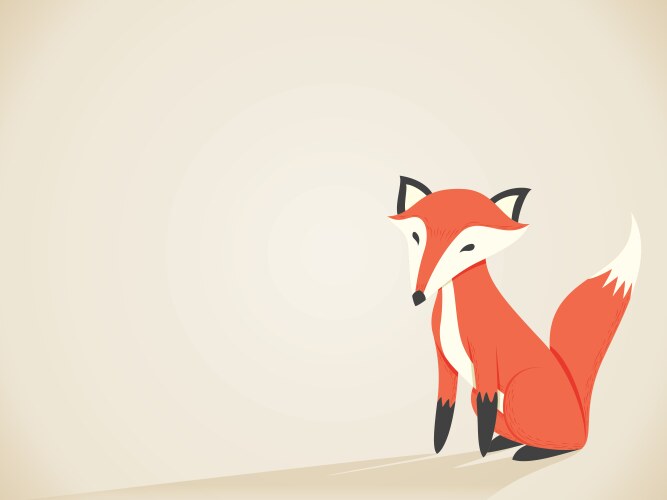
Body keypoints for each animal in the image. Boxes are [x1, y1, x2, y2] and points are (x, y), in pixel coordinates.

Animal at [390, 176, 641, 461]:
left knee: (569, 444)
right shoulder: (443, 358)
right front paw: (439, 446)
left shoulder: (486, 356)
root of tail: (583, 419)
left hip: (518, 390)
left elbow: (485, 413)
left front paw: (482, 450)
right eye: (416, 237)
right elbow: (444, 407)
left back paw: (531, 452)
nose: (418, 296)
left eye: (468, 247)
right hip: (481, 395)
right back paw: (505, 443)